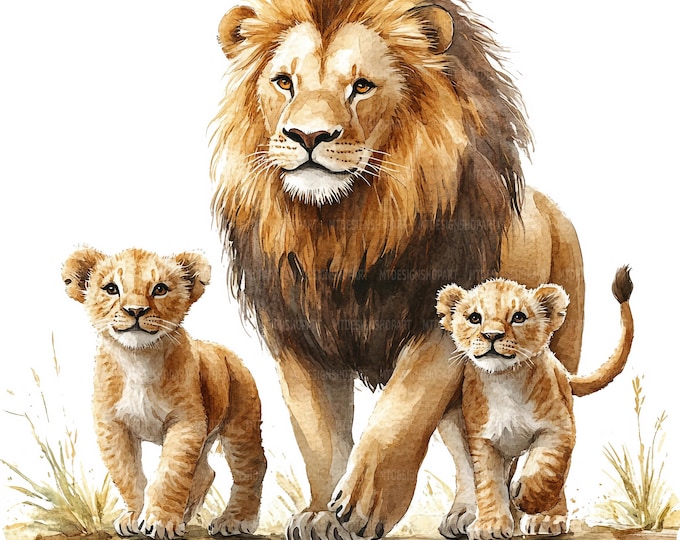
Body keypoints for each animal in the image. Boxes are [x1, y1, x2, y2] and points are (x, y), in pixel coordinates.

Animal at [62, 248, 266, 539]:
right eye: (111, 288)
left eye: (160, 289)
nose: (135, 310)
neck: (138, 358)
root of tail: (229, 354)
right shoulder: (112, 426)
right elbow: (127, 475)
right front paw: (134, 517)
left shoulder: (186, 422)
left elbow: (172, 474)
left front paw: (161, 521)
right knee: (206, 472)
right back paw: (187, 516)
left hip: (241, 424)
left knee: (251, 468)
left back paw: (235, 520)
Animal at [210, 0, 585, 539]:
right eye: (284, 82)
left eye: (361, 86)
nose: (306, 136)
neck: (343, 229)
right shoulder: (298, 333)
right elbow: (319, 437)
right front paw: (322, 513)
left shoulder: (441, 321)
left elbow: (401, 411)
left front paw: (364, 505)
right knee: (468, 438)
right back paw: (469, 512)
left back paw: (534, 514)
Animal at [435, 268, 633, 538]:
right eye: (474, 318)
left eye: (518, 317)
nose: (492, 335)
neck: (505, 379)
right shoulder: (482, 440)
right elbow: (487, 482)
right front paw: (491, 525)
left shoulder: (558, 429)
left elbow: (545, 470)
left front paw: (526, 498)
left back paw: (548, 517)